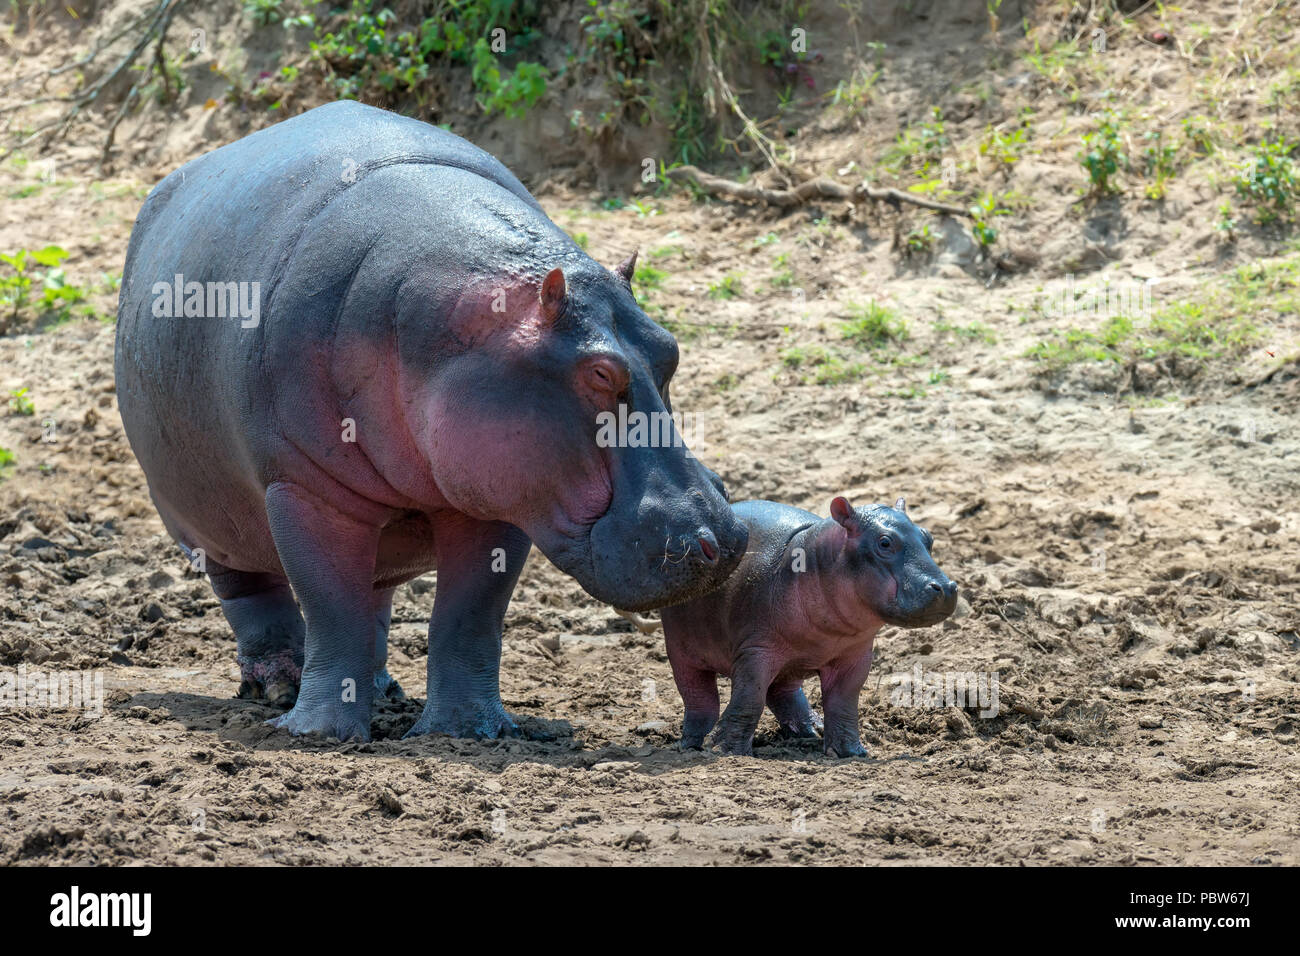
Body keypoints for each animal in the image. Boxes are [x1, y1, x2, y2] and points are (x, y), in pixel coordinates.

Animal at [114, 101, 747, 742]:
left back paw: (380, 691)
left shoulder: (501, 494)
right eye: (599, 373)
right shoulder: (305, 489)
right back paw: (279, 688)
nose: (723, 539)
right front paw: (318, 734)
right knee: (255, 597)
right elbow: (329, 606)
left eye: (669, 349)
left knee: (372, 598)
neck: (456, 327)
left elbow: (468, 617)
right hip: (201, 517)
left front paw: (467, 731)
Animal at [659, 496, 957, 757]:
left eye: (928, 537)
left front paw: (851, 752)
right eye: (884, 542)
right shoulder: (756, 651)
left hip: (791, 663)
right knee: (698, 696)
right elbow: (749, 697)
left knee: (783, 692)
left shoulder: (855, 655)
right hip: (682, 650)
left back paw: (812, 731)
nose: (946, 588)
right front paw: (725, 750)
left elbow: (844, 702)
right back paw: (693, 744)